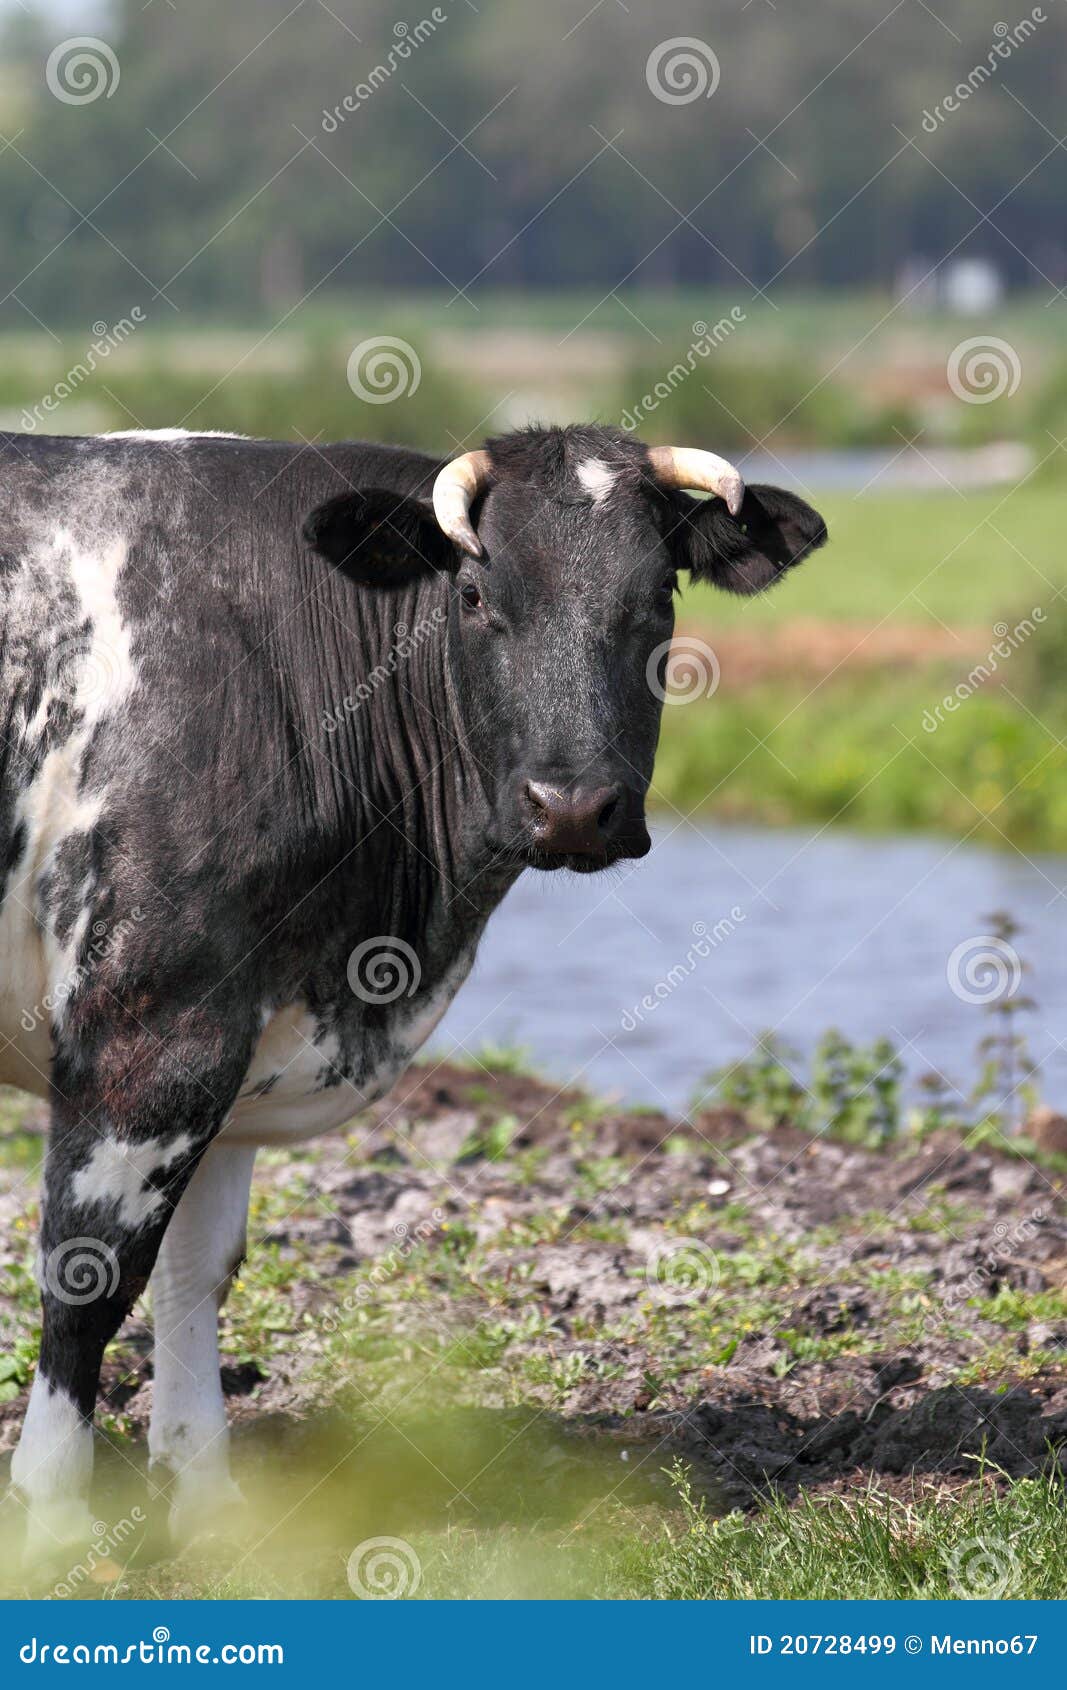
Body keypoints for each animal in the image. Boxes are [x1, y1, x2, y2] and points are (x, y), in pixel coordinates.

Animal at [0, 422, 826, 1554]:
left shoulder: (236, 1034)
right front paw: (50, 1525)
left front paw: (209, 1508)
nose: (574, 806)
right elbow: (89, 1270)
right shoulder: (149, 1021)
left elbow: (193, 1271)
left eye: (659, 593)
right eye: (475, 595)